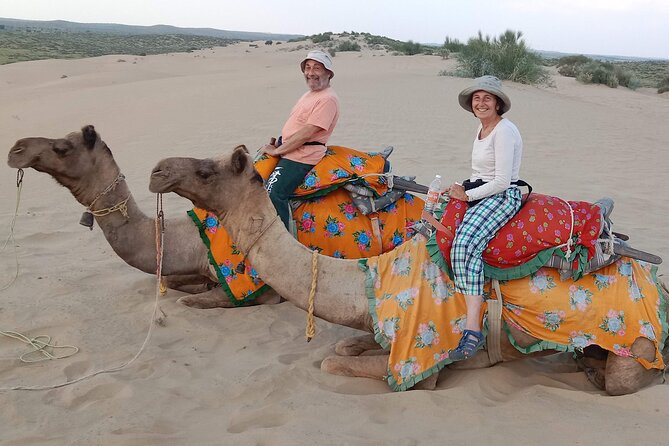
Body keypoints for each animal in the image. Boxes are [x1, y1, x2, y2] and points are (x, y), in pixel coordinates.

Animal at [148, 144, 669, 395]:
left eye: (208, 171)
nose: (157, 170)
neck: (373, 276)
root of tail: (657, 281)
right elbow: (348, 345)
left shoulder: (420, 356)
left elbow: (332, 360)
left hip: (638, 341)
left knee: (622, 380)